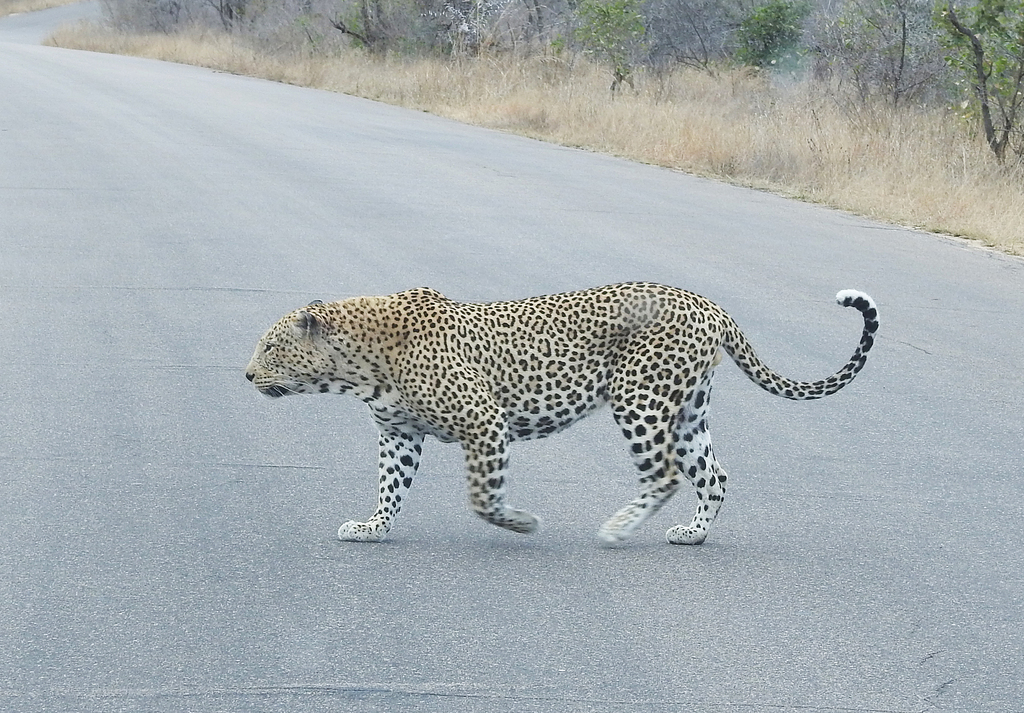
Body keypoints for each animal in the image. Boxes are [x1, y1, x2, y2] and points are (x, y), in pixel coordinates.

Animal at [245, 282, 878, 545]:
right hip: (687, 411)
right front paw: (373, 528)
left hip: (639, 399)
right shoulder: (399, 434)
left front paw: (521, 522)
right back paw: (692, 535)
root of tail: (708, 304)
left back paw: (619, 528)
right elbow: (390, 487)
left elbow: (482, 497)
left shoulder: (484, 422)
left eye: (270, 346)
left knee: (665, 474)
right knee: (713, 475)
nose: (247, 376)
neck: (359, 366)